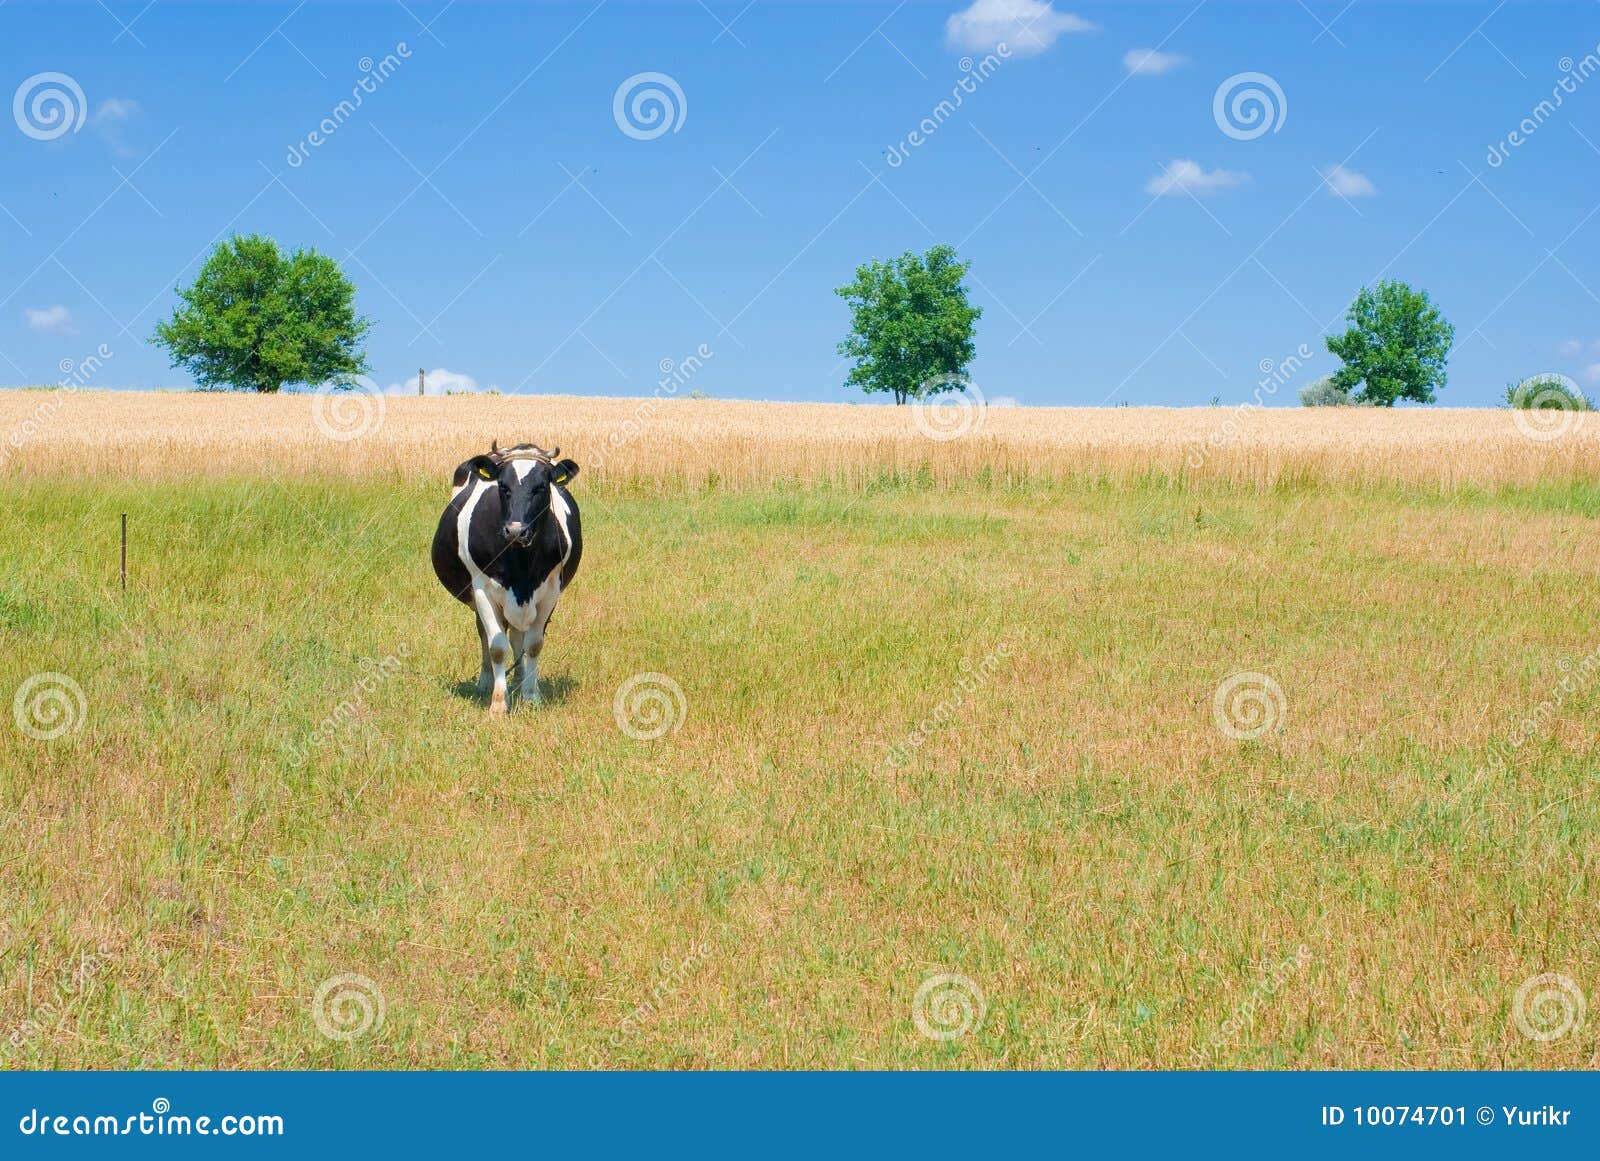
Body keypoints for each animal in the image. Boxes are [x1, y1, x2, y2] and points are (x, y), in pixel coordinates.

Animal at [431, 441, 582, 713]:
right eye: (502, 486)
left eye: (541, 486)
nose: (515, 530)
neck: (522, 568)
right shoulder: (482, 588)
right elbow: (497, 647)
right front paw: (499, 704)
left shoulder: (551, 591)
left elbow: (533, 644)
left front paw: (531, 696)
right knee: (485, 634)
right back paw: (485, 682)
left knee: (517, 638)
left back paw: (520, 678)